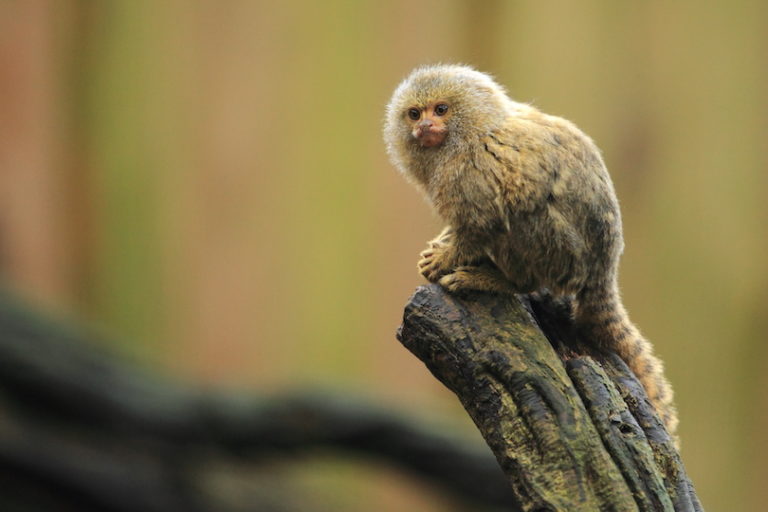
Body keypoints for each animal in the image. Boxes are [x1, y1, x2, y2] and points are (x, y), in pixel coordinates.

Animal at [383, 64, 678, 442]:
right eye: (414, 114)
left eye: (441, 110)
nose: (424, 127)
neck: (474, 131)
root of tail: (603, 269)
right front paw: (442, 243)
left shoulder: (473, 175)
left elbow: (481, 224)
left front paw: (446, 259)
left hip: (556, 249)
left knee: (523, 223)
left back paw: (496, 280)